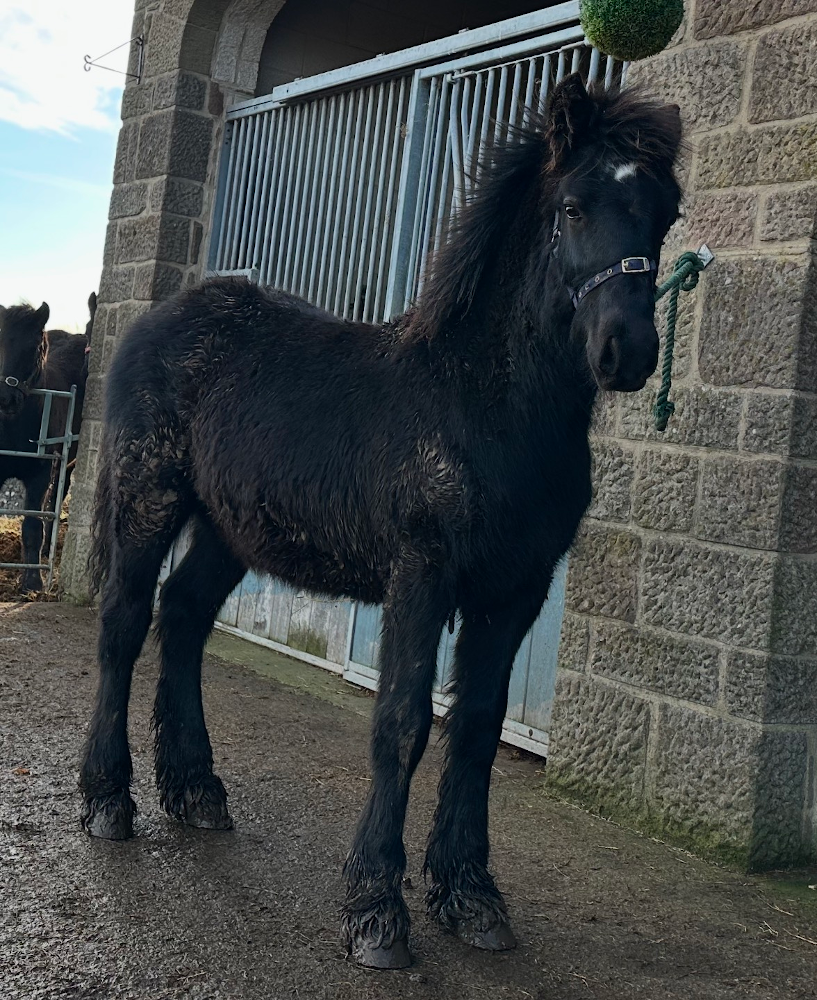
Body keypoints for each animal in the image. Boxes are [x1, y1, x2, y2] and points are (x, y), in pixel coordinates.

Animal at [0, 292, 96, 591]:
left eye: (34, 346)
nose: (6, 398)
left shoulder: (41, 473)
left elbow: (32, 526)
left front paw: (32, 580)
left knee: (56, 500)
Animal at [79, 76, 682, 968]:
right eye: (573, 207)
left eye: (666, 211)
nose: (627, 352)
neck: (483, 404)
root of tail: (162, 316)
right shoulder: (421, 575)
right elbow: (401, 724)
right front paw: (374, 913)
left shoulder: (515, 591)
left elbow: (476, 729)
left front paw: (470, 898)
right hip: (146, 495)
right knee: (124, 623)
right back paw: (106, 801)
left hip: (230, 528)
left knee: (182, 617)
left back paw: (196, 791)